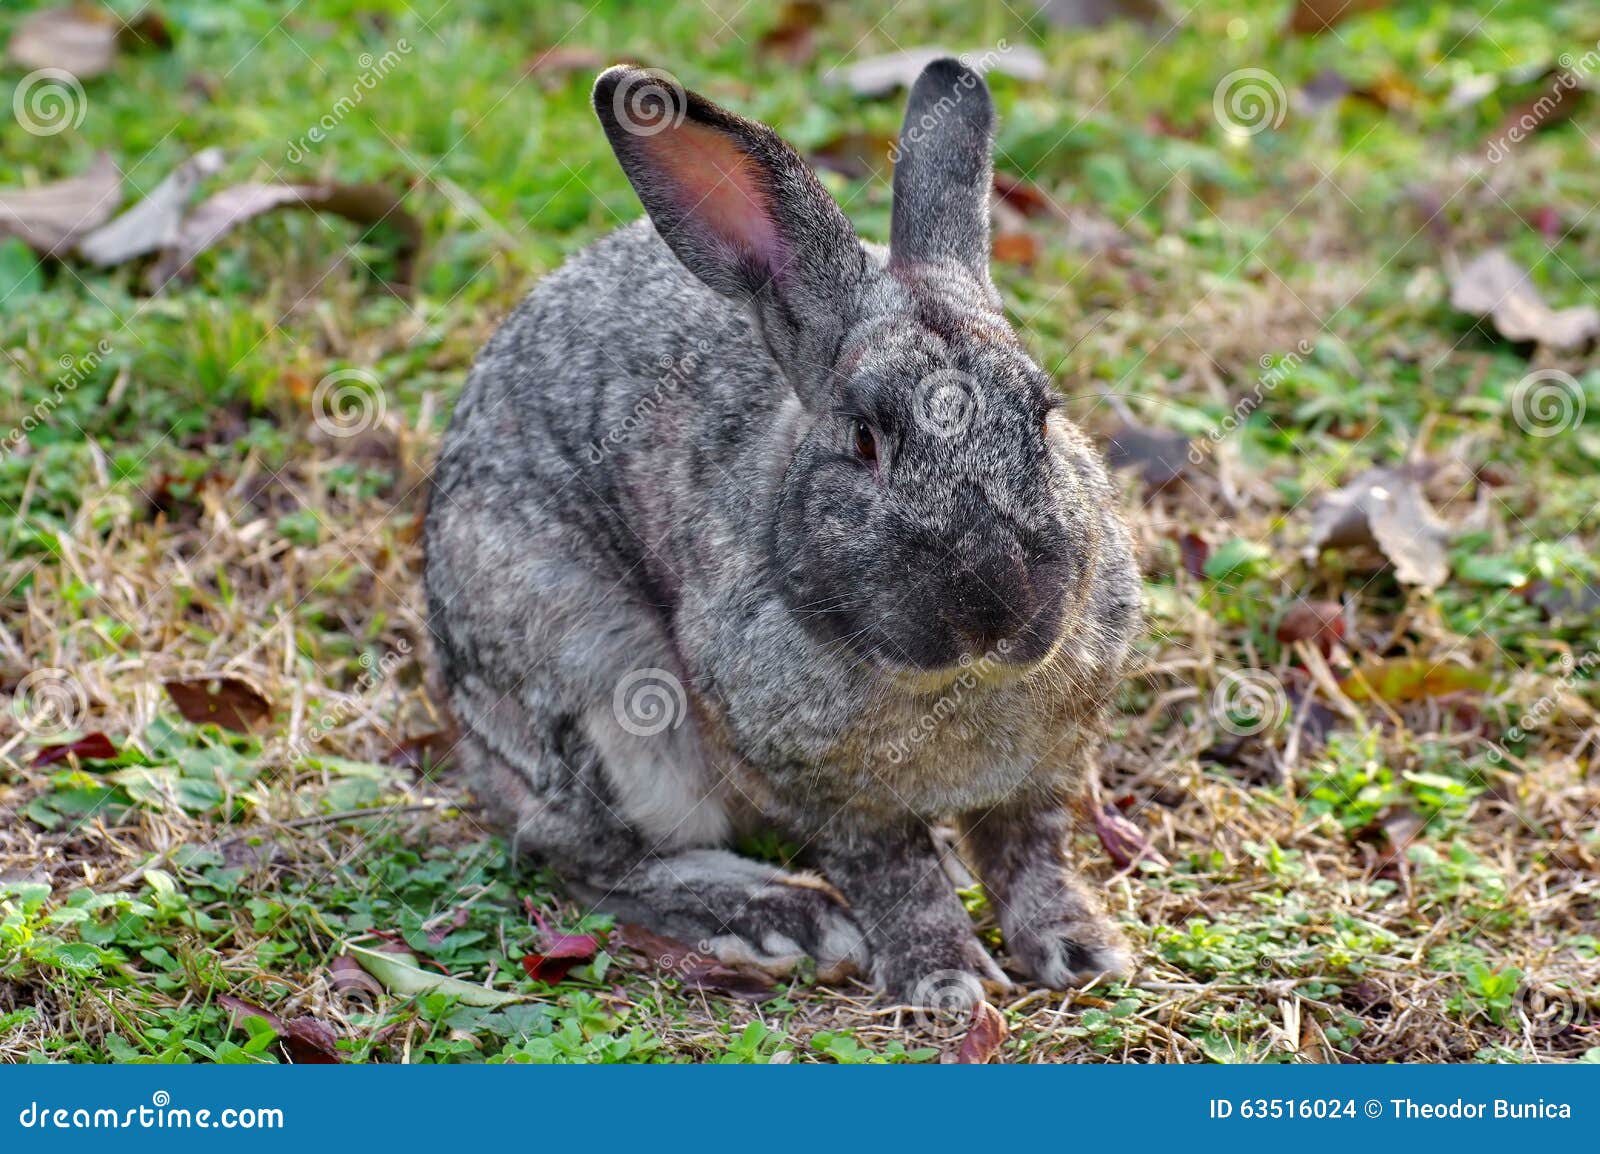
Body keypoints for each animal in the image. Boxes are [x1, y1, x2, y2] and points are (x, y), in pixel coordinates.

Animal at [424, 57, 1142, 1006]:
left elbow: (1030, 854)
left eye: (1044, 415)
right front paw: (945, 979)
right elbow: (895, 874)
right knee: (577, 853)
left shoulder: (1045, 771)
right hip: (607, 701)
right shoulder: (832, 796)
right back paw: (785, 918)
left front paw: (1080, 949)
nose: (993, 606)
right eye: (865, 441)